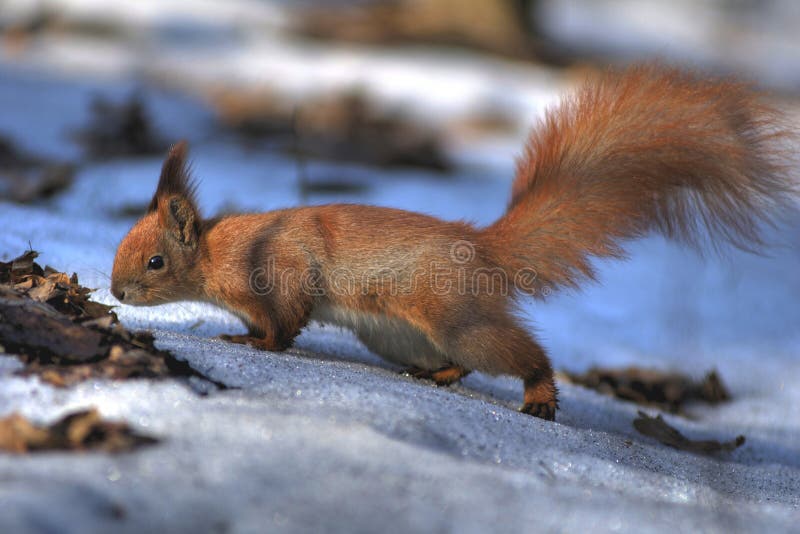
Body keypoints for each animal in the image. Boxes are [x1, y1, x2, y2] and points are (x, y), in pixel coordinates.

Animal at [111, 64, 797, 421]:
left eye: (155, 261)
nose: (115, 291)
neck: (216, 253)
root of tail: (487, 249)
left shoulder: (280, 268)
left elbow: (284, 321)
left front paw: (252, 343)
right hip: (397, 335)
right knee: (460, 361)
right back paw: (438, 376)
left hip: (451, 314)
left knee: (514, 352)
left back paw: (539, 395)